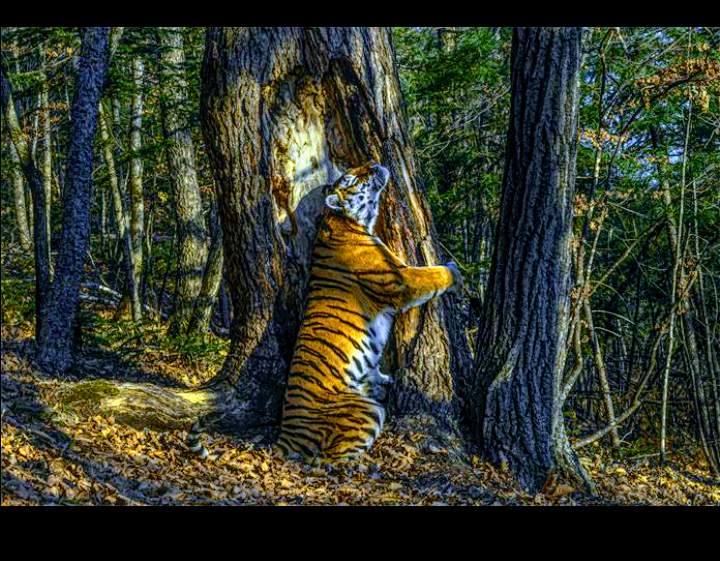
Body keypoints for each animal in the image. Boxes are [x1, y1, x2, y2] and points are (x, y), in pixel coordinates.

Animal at [274, 161, 463, 464]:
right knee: (330, 460)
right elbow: (432, 274)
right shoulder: (400, 278)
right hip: (366, 412)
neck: (344, 222)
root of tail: (285, 434)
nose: (374, 163)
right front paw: (455, 272)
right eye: (353, 179)